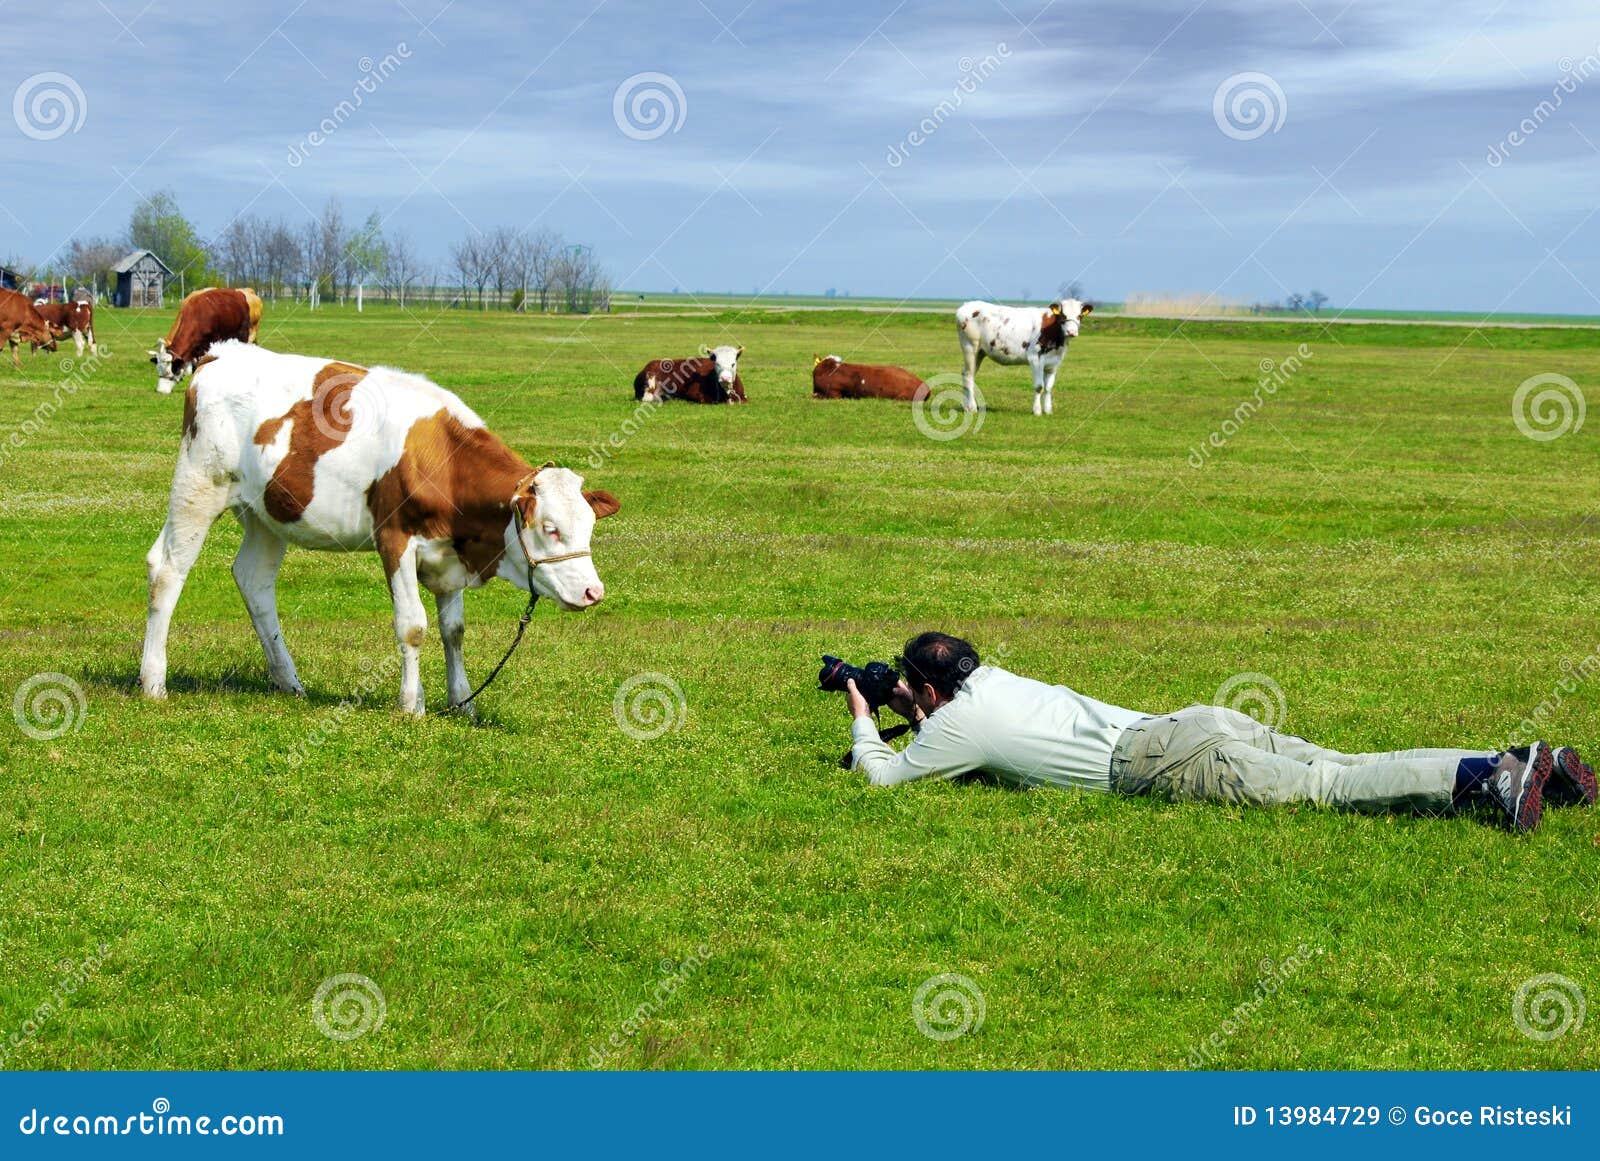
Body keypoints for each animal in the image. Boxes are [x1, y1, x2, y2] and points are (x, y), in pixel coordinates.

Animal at [138, 340, 621, 717]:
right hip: (198, 485)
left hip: (267, 515)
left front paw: (462, 702)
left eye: (589, 527)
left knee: (254, 581)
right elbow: (413, 625)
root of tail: (223, 354)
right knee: (167, 570)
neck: (442, 458)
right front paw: (412, 705)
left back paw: (288, 679)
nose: (593, 592)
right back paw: (153, 681)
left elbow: (454, 631)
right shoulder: (395, 540)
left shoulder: (450, 555)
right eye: (551, 528)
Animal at [955, 298, 1093, 416]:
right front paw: (1037, 411)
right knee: (968, 375)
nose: (1072, 332)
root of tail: (967, 304)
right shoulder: (1035, 359)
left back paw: (967, 406)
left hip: (980, 353)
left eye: (1079, 316)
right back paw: (972, 407)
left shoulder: (1054, 363)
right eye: (1063, 315)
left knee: (969, 375)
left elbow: (1048, 387)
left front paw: (1048, 410)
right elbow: (1039, 386)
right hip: (970, 348)